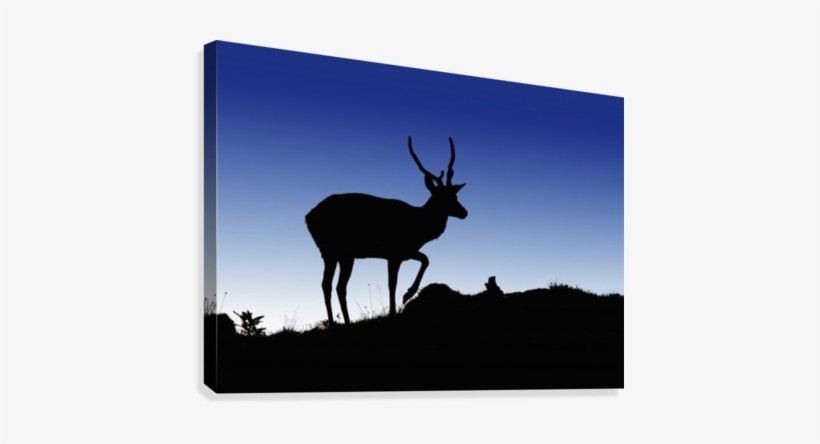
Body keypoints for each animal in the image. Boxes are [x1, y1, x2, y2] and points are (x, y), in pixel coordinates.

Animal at [305, 136, 468, 325]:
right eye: (442, 197)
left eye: (455, 195)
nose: (464, 212)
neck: (419, 228)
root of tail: (307, 217)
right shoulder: (396, 253)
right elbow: (397, 281)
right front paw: (404, 299)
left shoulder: (402, 253)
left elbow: (421, 262)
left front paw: (402, 300)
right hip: (336, 251)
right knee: (334, 285)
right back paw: (338, 323)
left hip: (337, 254)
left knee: (332, 285)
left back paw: (340, 323)